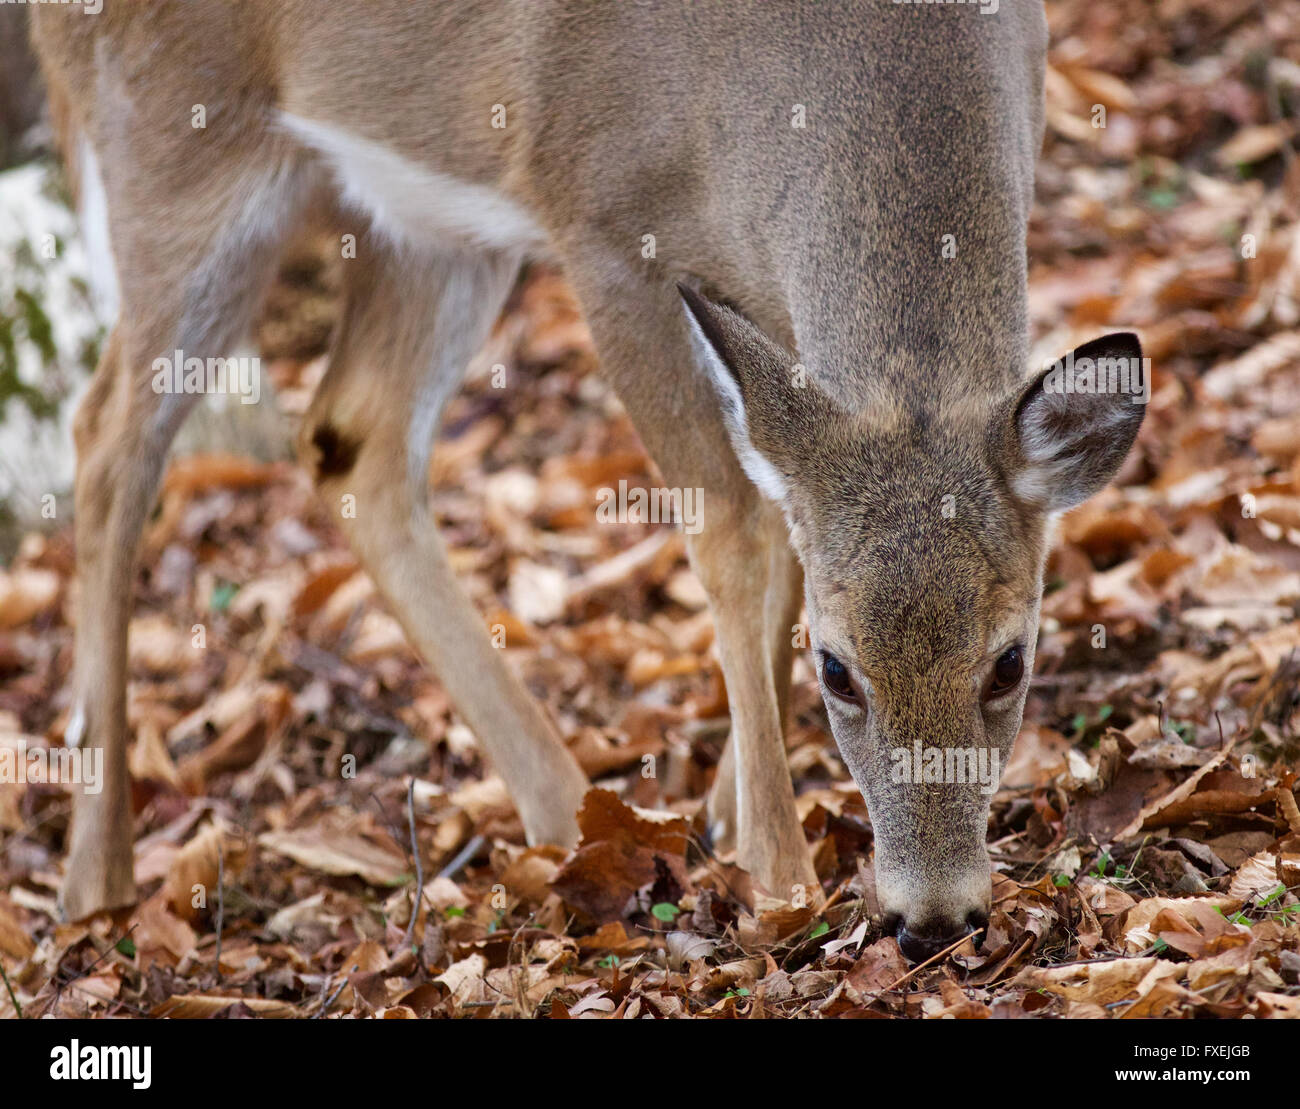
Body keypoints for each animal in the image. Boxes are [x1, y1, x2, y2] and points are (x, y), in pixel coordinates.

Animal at [31, 0, 1143, 963]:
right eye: (837, 671)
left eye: (1010, 660)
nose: (935, 919)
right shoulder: (603, 222)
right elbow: (731, 533)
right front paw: (776, 869)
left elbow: (785, 527)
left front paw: (725, 815)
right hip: (172, 152)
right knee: (105, 438)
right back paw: (95, 881)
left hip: (420, 215)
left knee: (350, 433)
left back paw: (568, 815)